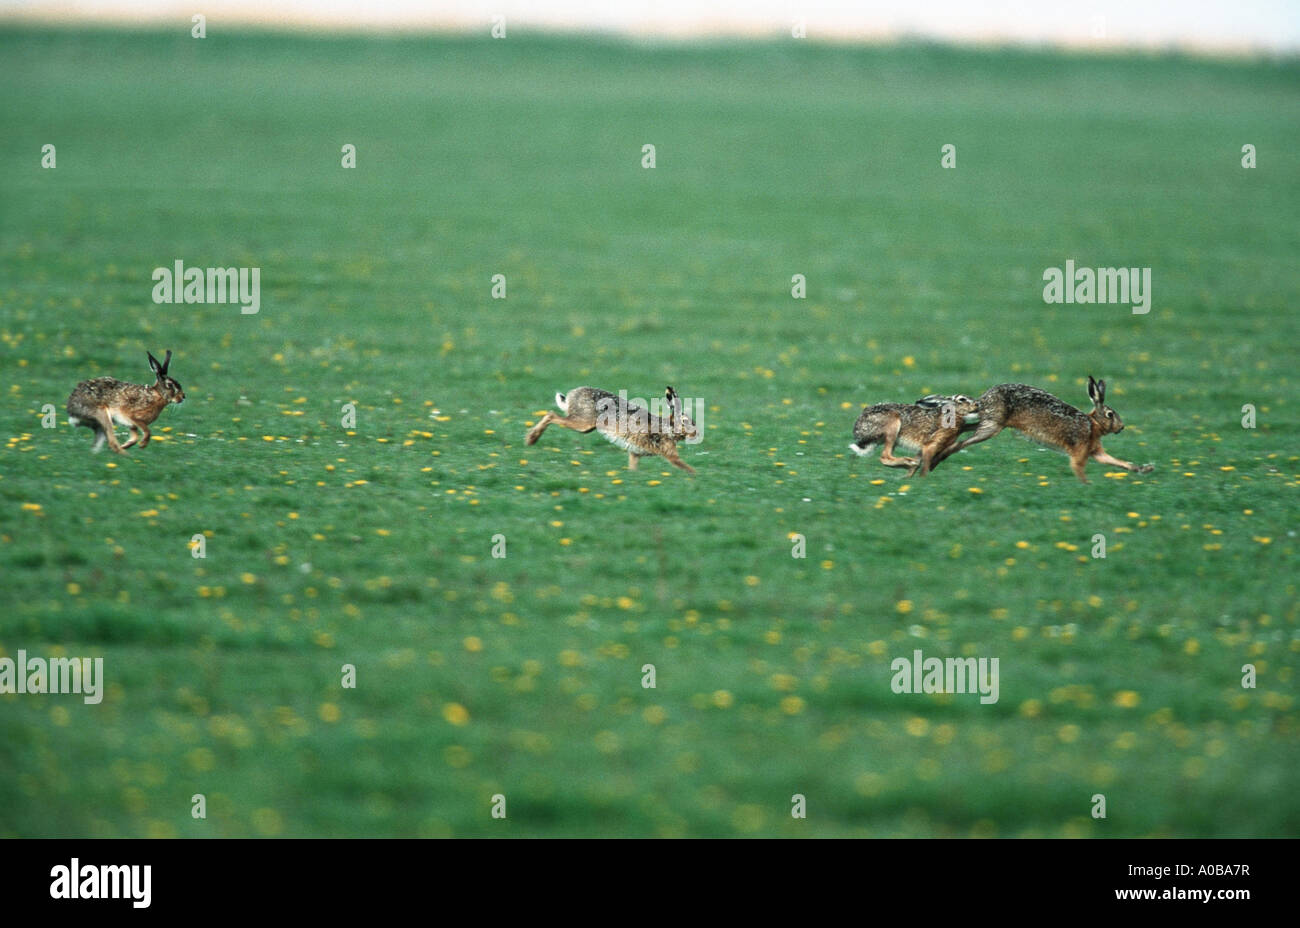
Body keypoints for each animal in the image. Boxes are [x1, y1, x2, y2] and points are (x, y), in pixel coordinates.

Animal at [525, 385, 699, 474]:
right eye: (685, 422)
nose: (696, 433)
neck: (669, 428)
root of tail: (571, 395)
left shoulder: (635, 453)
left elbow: (633, 466)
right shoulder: (670, 454)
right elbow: (684, 465)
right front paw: (696, 476)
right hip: (583, 423)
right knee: (551, 415)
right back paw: (531, 439)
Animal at [849, 394, 980, 476]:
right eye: (962, 399)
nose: (978, 404)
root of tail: (858, 430)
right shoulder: (930, 444)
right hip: (893, 426)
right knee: (885, 456)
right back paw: (908, 461)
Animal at [928, 377, 1154, 483]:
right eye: (1110, 414)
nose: (1122, 427)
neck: (1092, 425)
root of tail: (983, 400)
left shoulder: (1095, 451)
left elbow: (1117, 462)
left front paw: (1144, 469)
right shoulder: (1079, 451)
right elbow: (1078, 468)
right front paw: (1086, 485)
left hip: (992, 423)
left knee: (963, 429)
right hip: (991, 427)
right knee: (962, 442)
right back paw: (935, 460)